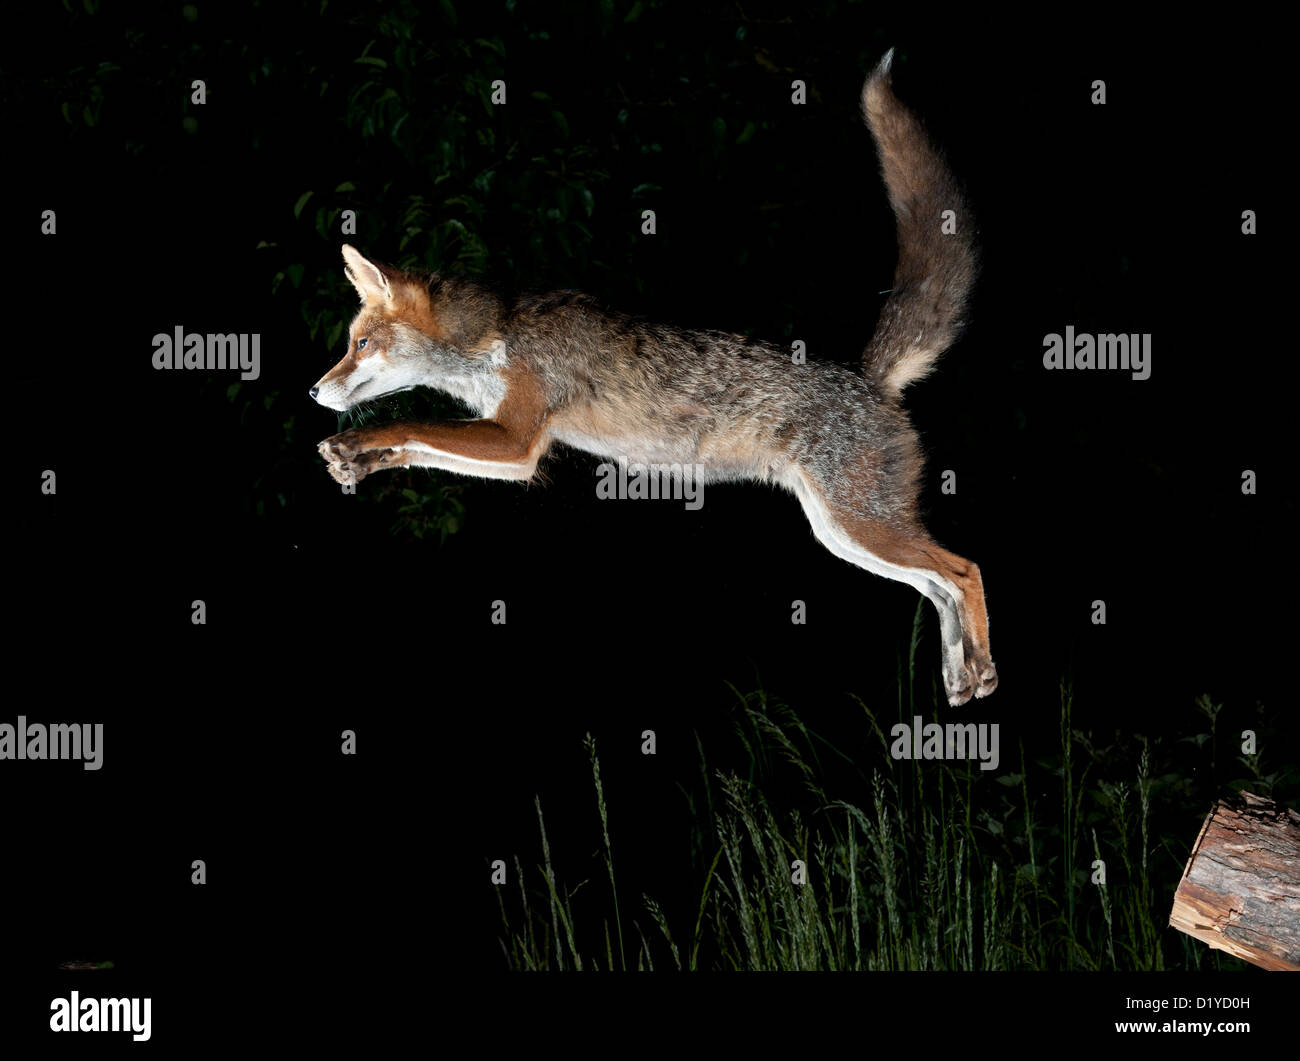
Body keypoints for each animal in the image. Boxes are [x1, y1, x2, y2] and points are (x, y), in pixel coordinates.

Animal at [310, 49, 996, 706]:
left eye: (360, 344)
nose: (315, 390)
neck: (490, 342)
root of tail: (867, 377)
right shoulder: (516, 451)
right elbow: (418, 442)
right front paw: (359, 460)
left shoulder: (517, 438)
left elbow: (410, 420)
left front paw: (357, 443)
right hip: (844, 535)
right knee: (936, 585)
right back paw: (959, 674)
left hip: (862, 524)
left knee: (964, 569)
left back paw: (981, 668)